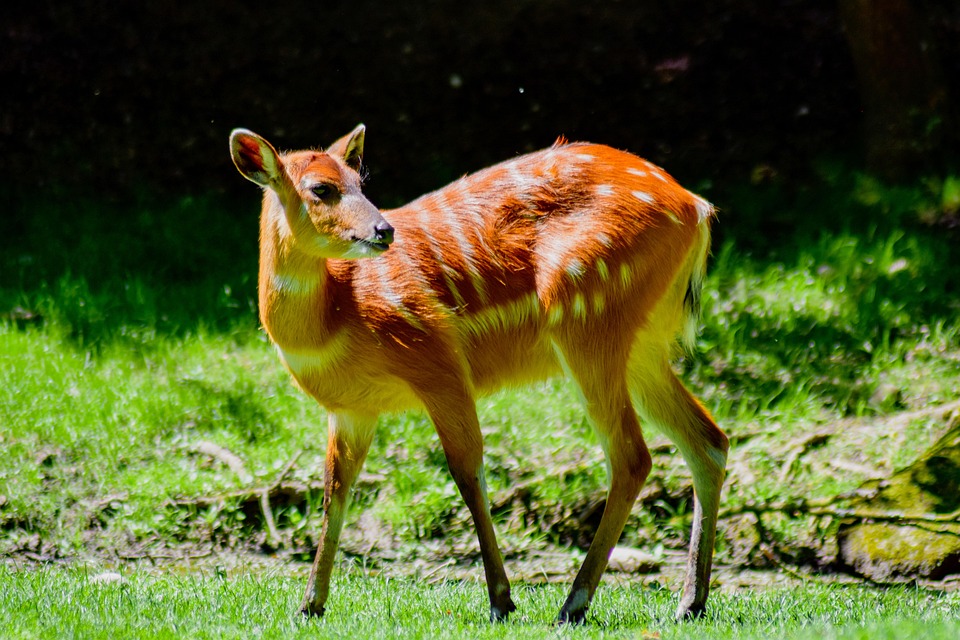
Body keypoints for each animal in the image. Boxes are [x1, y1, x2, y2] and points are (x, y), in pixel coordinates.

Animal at [229, 124, 728, 624]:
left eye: (360, 182)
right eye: (322, 188)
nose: (383, 229)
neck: (338, 314)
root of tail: (697, 208)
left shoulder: (439, 363)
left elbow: (466, 471)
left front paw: (501, 599)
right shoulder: (352, 408)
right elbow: (335, 487)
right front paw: (310, 603)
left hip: (587, 317)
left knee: (632, 455)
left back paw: (573, 603)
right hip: (642, 345)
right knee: (708, 440)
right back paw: (690, 601)